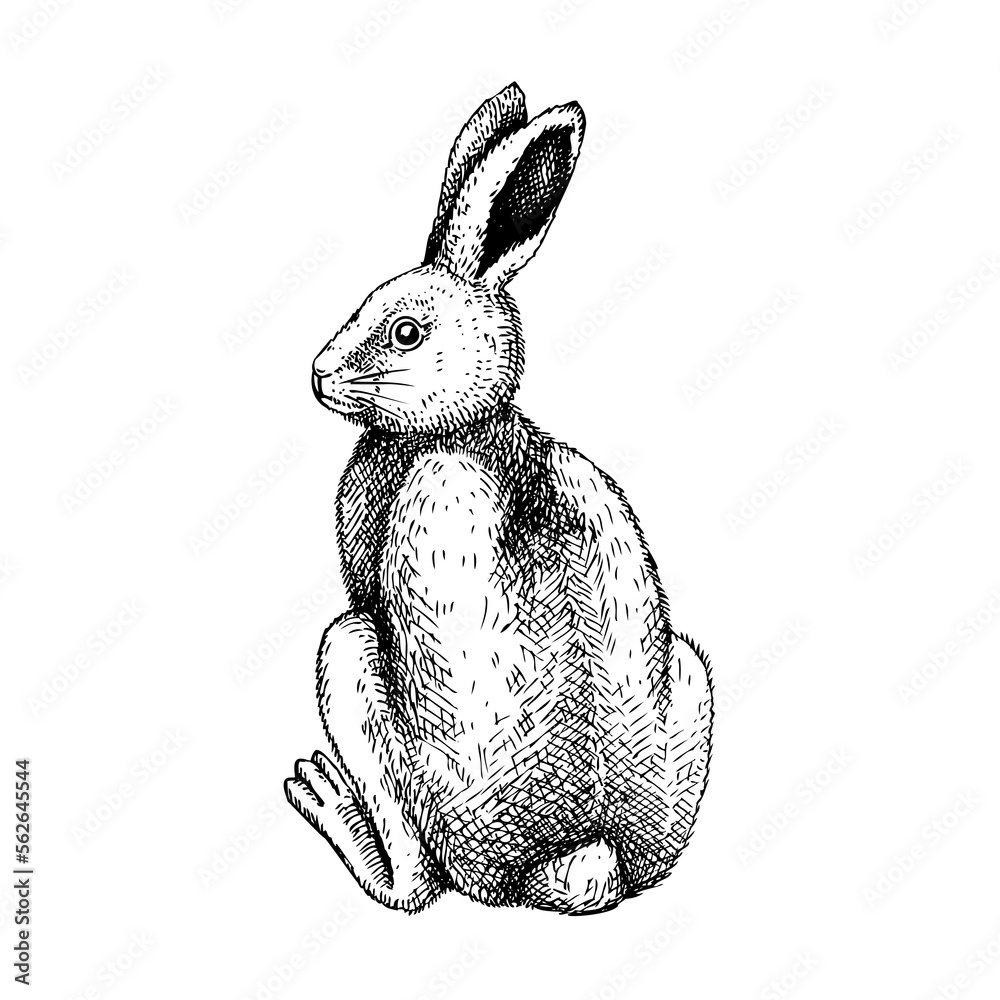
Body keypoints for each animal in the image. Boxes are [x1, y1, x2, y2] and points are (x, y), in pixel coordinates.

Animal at [285, 82, 712, 915]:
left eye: (406, 333)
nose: (318, 375)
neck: (463, 425)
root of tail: (580, 856)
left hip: (349, 660)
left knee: (414, 886)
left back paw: (325, 802)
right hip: (692, 673)